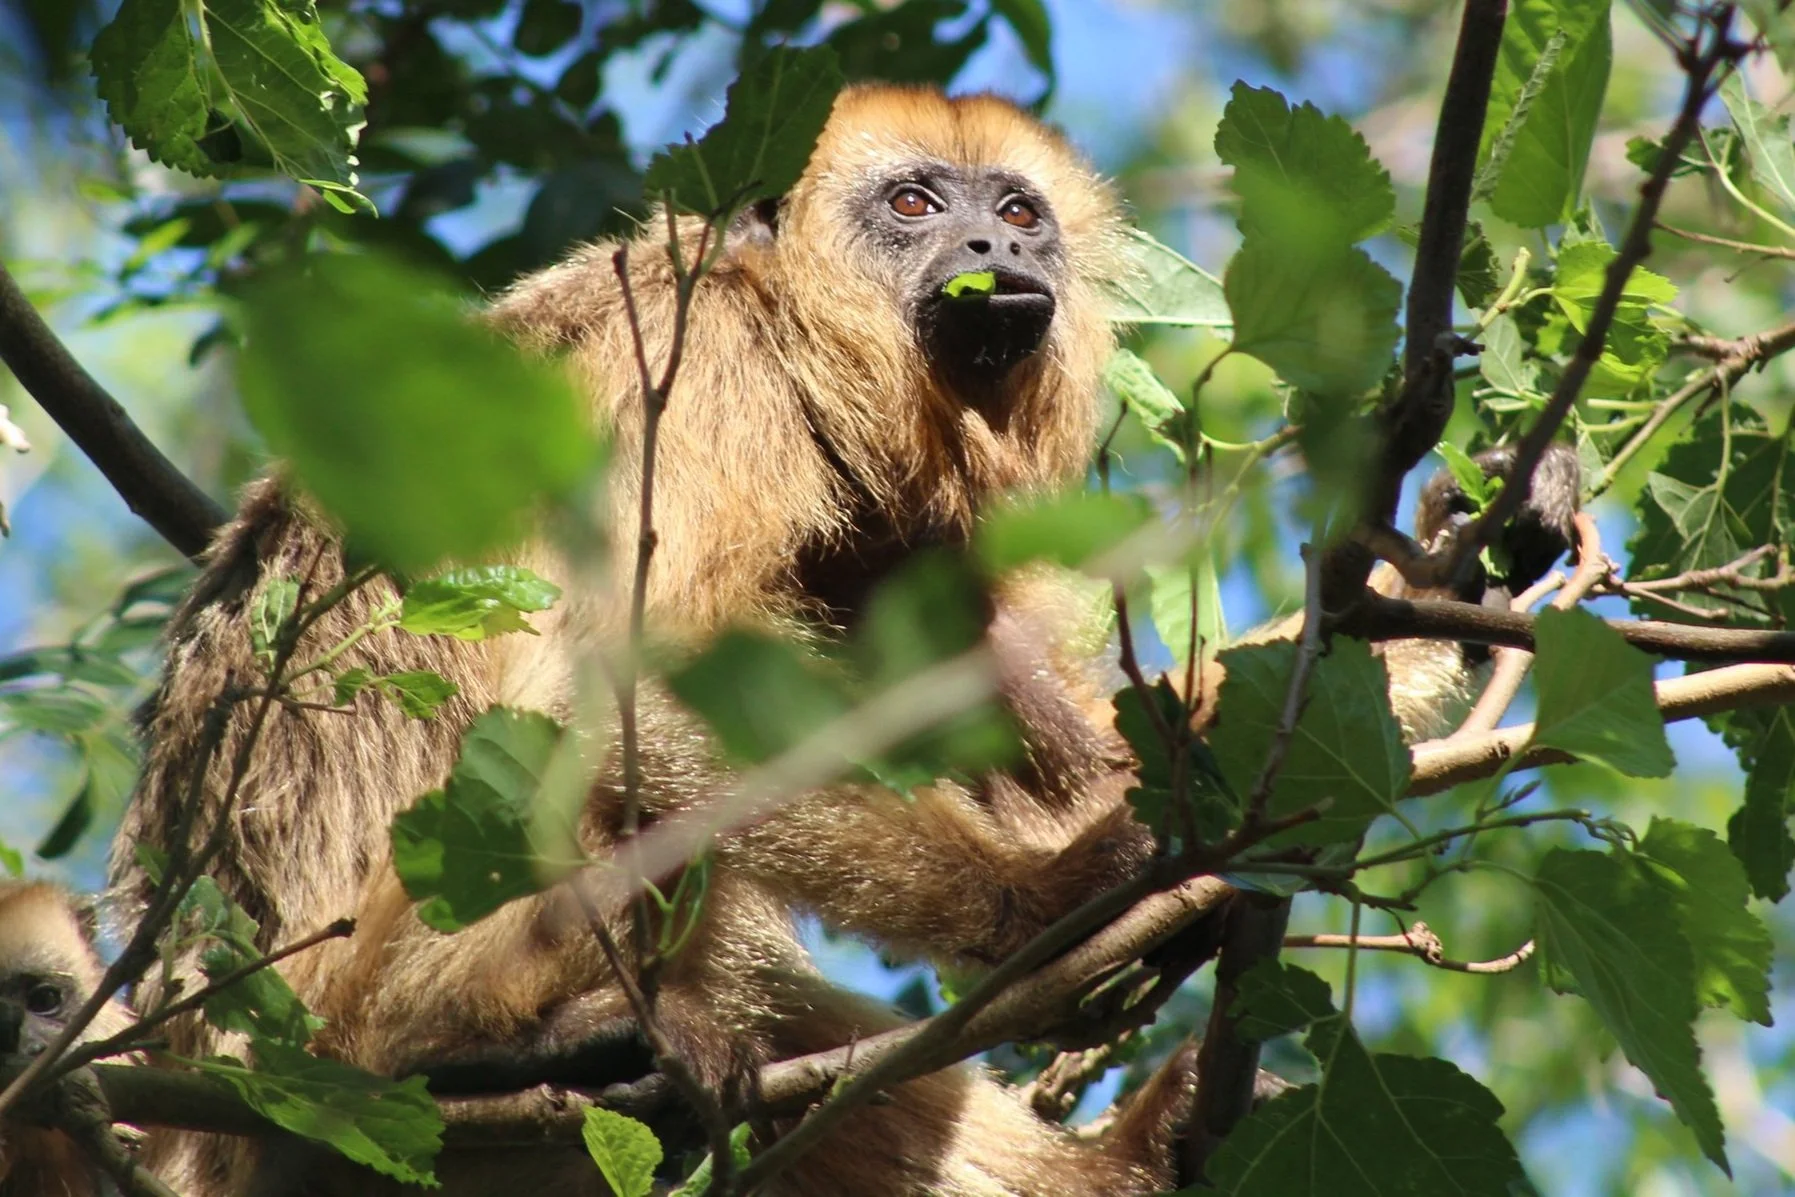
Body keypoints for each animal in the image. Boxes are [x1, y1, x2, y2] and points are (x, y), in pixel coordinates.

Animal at [109, 84, 1577, 1196]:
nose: (1003, 256)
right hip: (349, 1018)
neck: (809, 351)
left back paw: (1124, 1165)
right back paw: (503, 1049)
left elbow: (1093, 748)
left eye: (1020, 210)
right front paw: (1054, 901)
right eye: (916, 204)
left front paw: (1452, 565)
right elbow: (622, 679)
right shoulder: (706, 377)